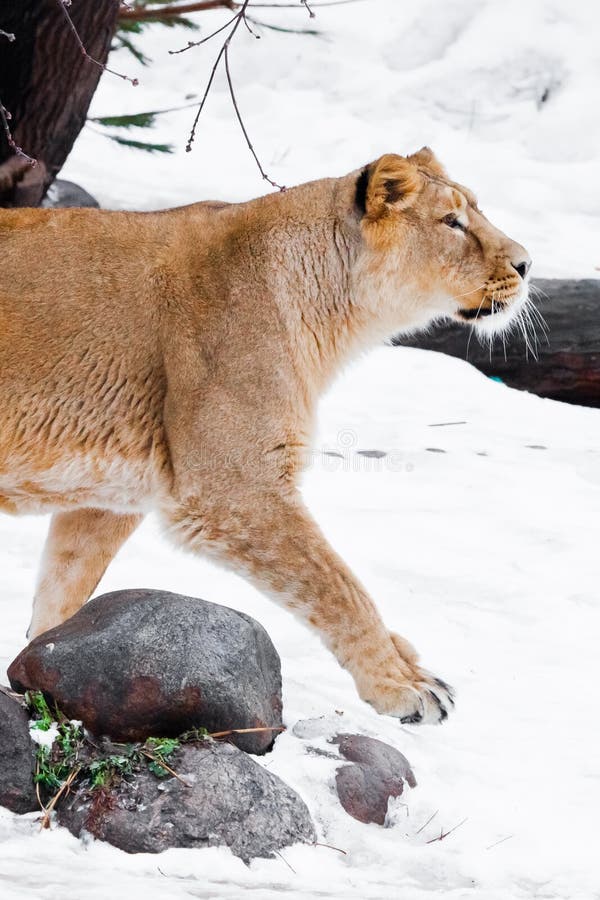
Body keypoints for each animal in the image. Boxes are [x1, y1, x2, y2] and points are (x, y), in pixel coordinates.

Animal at [0, 148, 531, 724]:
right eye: (451, 221)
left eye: (476, 209)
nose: (527, 264)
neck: (333, 316)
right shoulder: (234, 491)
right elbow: (340, 586)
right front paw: (399, 686)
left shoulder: (110, 498)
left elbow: (62, 591)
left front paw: (44, 677)